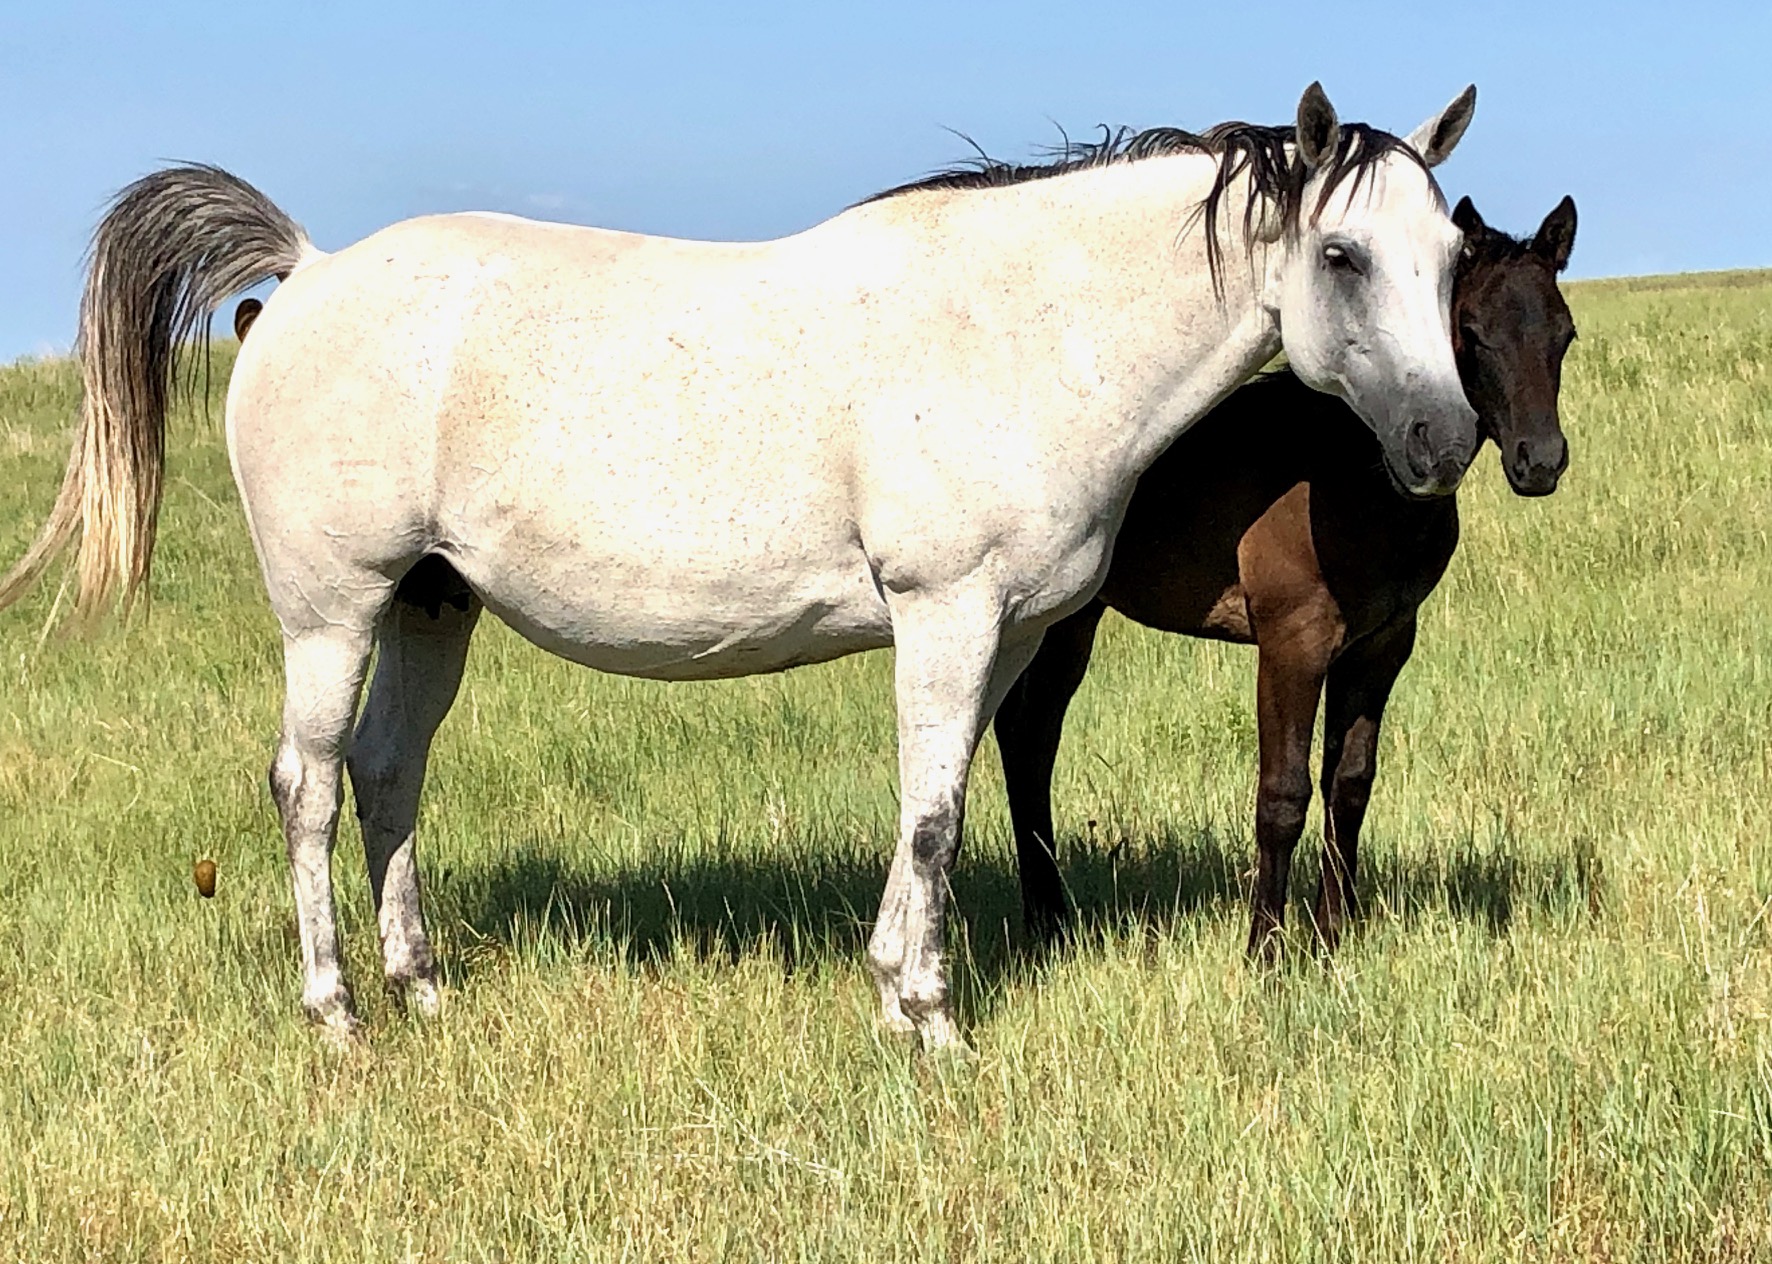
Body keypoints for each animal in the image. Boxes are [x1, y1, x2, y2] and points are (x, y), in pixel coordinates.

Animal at [0, 84, 1479, 1050]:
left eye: (1454, 255)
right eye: (1342, 253)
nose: (1445, 440)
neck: (1020, 329)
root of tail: (302, 275)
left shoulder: (1000, 633)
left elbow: (936, 803)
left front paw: (891, 993)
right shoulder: (946, 616)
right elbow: (935, 816)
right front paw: (933, 1022)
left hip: (432, 606)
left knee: (385, 775)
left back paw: (420, 989)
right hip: (335, 608)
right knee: (307, 786)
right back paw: (338, 1015)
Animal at [993, 194, 1578, 957]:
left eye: (1564, 333)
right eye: (1472, 333)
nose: (1540, 461)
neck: (1352, 470)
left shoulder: (1381, 644)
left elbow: (1350, 784)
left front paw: (1335, 933)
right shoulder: (1290, 643)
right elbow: (1282, 793)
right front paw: (1266, 950)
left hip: (1070, 619)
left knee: (1028, 736)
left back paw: (1049, 915)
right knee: (1028, 736)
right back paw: (1048, 915)